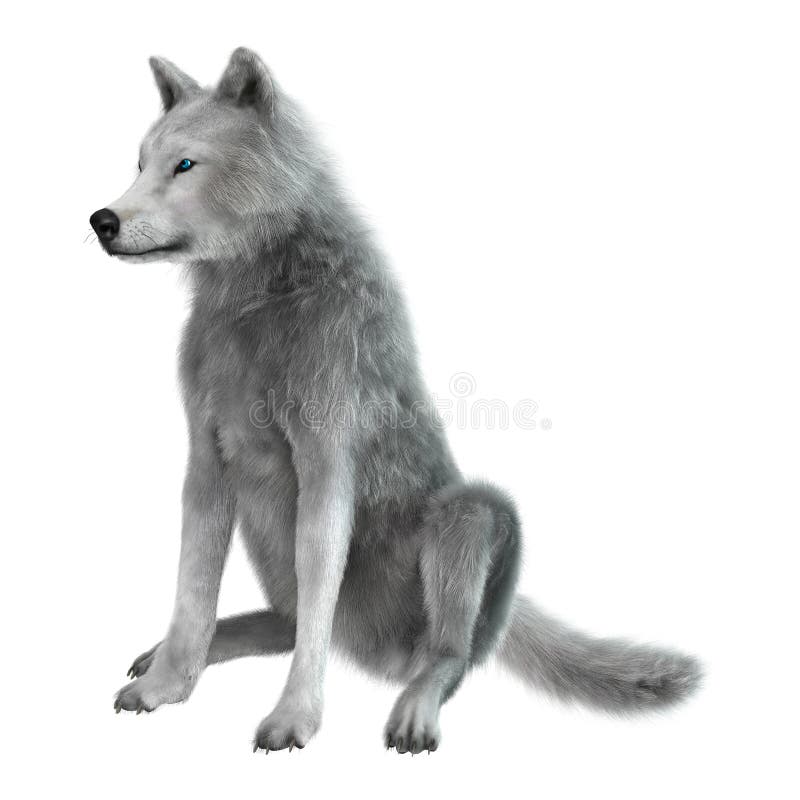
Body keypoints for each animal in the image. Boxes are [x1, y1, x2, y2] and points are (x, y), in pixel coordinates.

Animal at [91, 48, 701, 754]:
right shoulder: (207, 460)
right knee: (292, 617)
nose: (101, 220)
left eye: (185, 165)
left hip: (475, 512)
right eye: (139, 164)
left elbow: (317, 592)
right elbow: (192, 590)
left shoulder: (327, 466)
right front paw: (165, 684)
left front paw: (294, 717)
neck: (261, 297)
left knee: (445, 655)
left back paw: (415, 707)